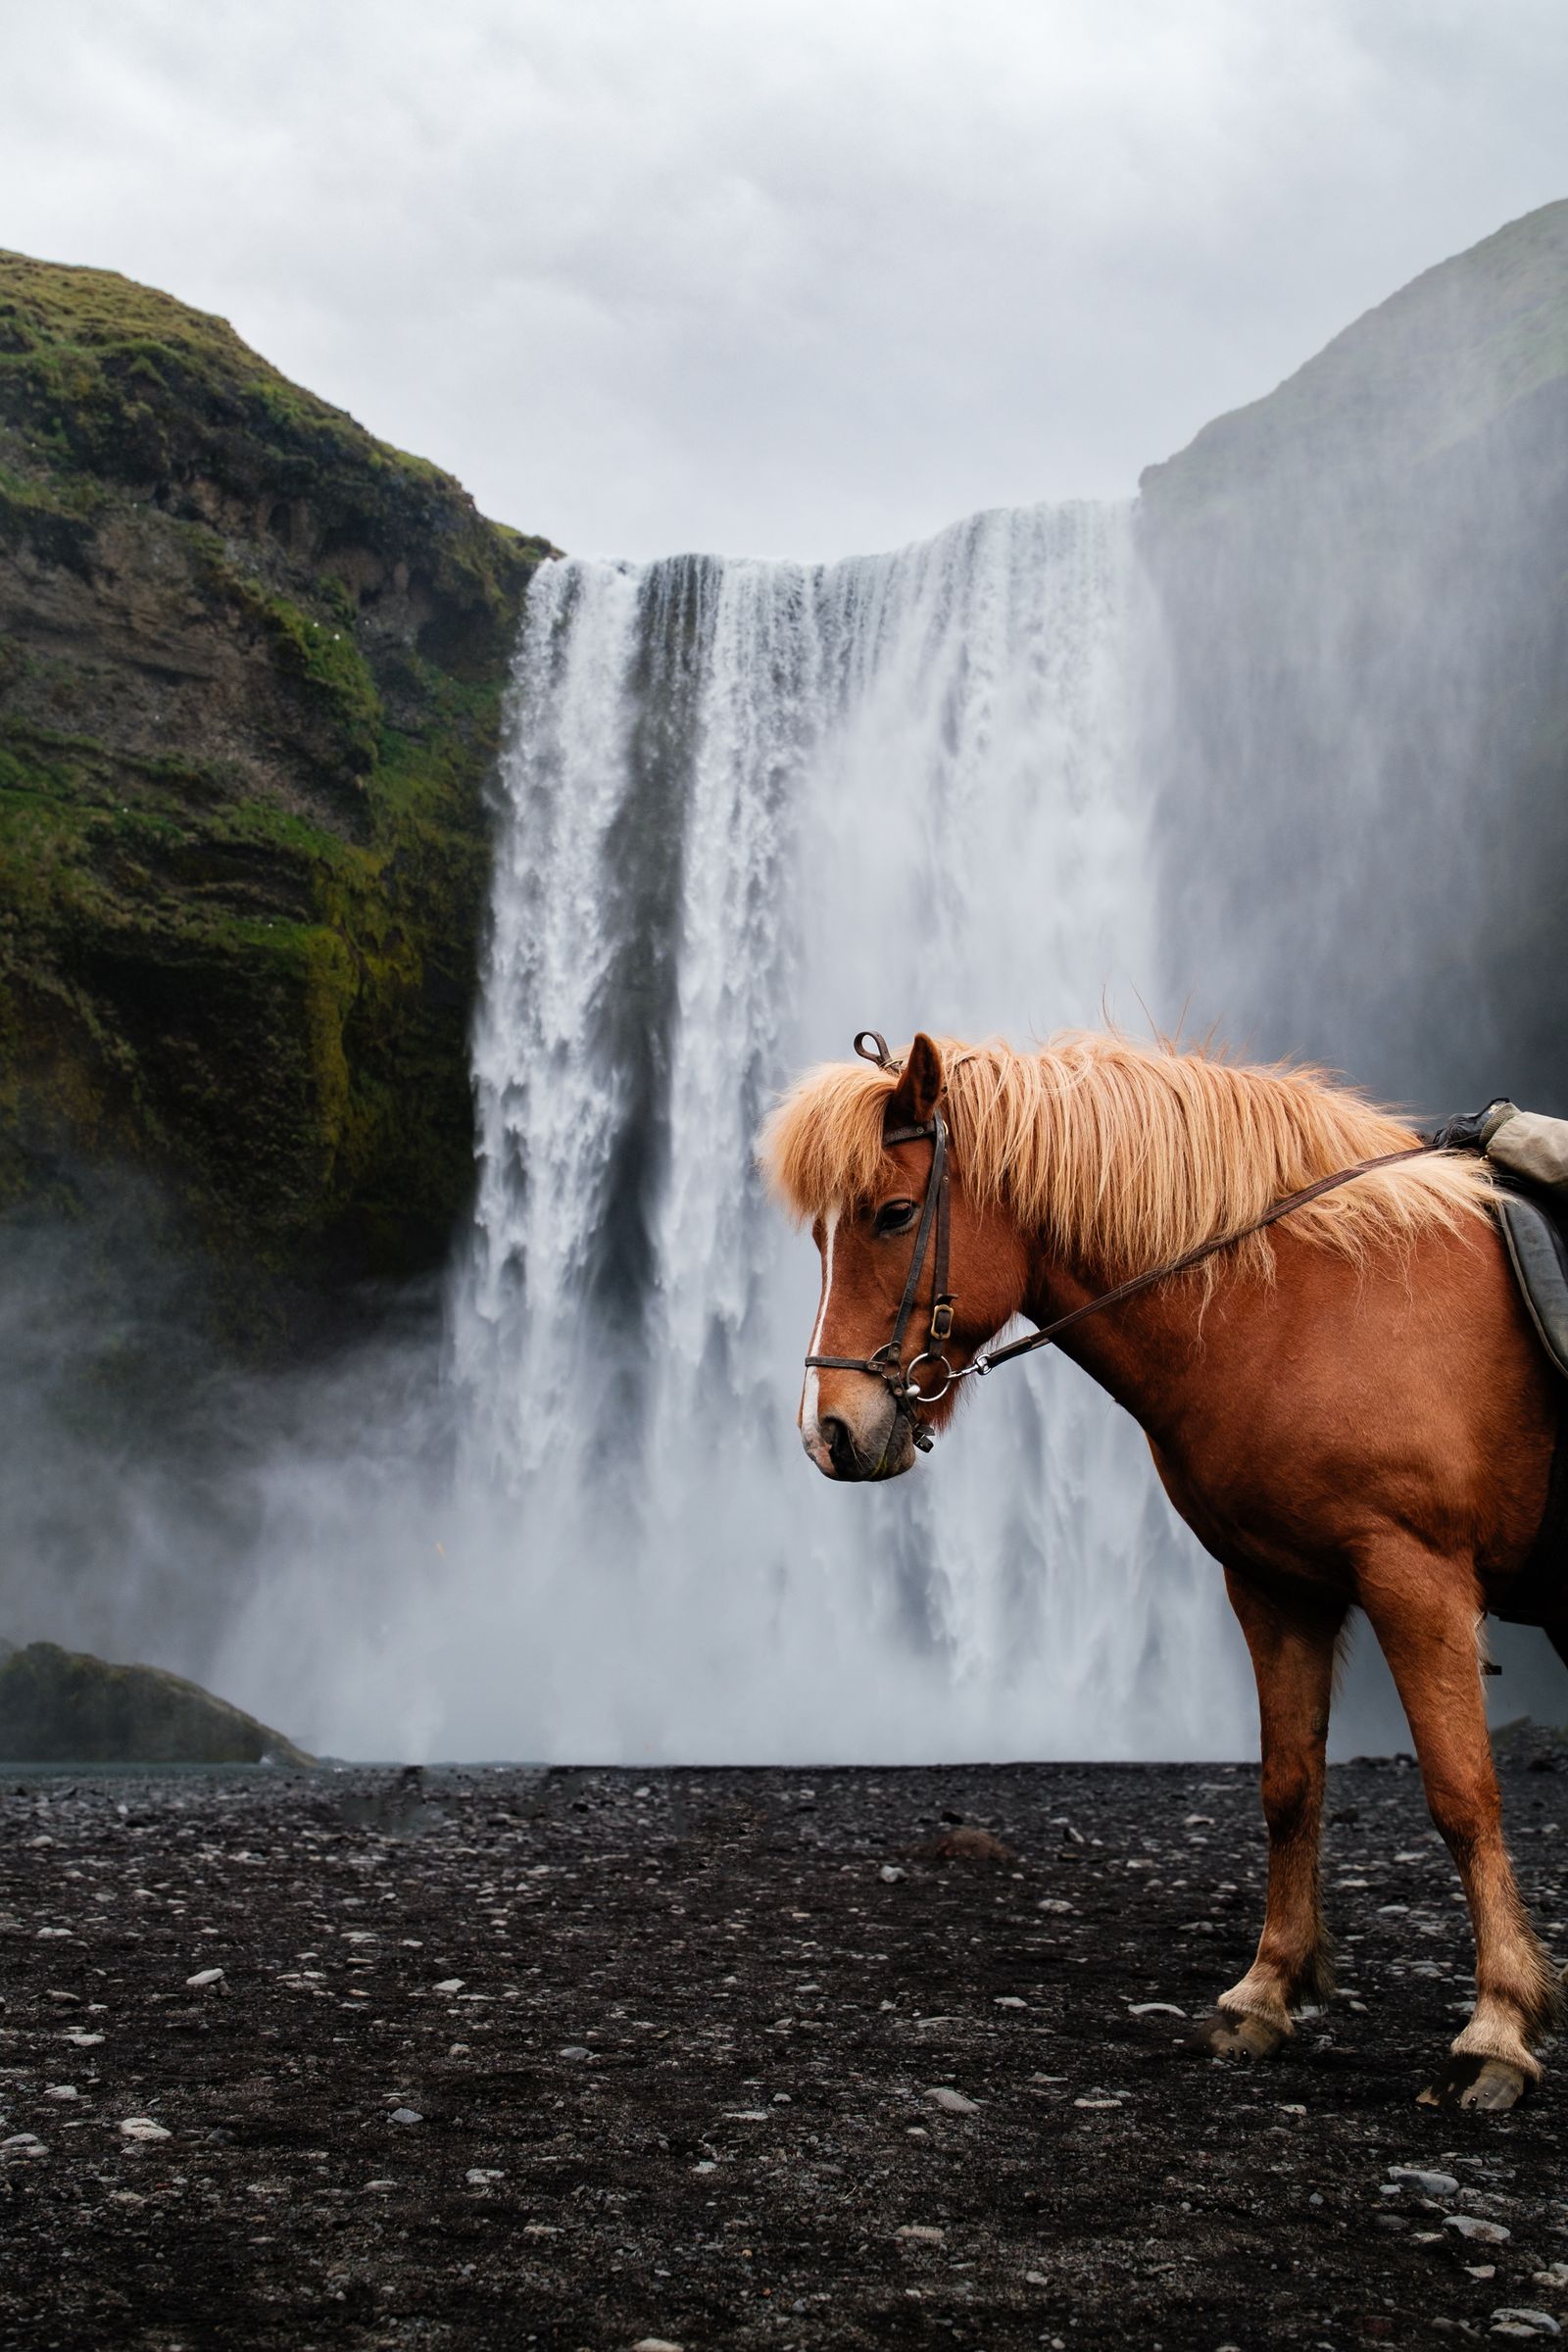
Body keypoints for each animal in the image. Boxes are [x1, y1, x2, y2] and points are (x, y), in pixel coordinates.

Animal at [760, 1027, 1567, 2111]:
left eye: (893, 1214)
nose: (832, 1434)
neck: (1307, 1301)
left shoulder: (1417, 1581)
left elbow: (1462, 1796)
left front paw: (1497, 2027)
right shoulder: (1272, 1585)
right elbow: (1288, 1789)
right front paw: (1266, 1991)